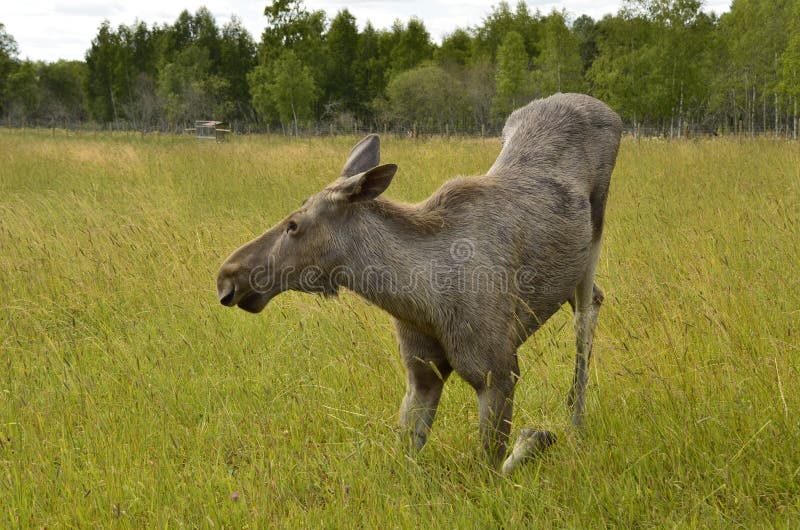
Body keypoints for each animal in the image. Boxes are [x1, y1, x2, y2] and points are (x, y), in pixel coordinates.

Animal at [216, 93, 622, 474]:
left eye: (294, 225)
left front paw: (535, 440)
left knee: (586, 312)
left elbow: (491, 468)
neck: (421, 298)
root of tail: (608, 111)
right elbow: (406, 456)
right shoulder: (421, 372)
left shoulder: (497, 371)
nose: (227, 278)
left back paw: (575, 424)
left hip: (595, 235)